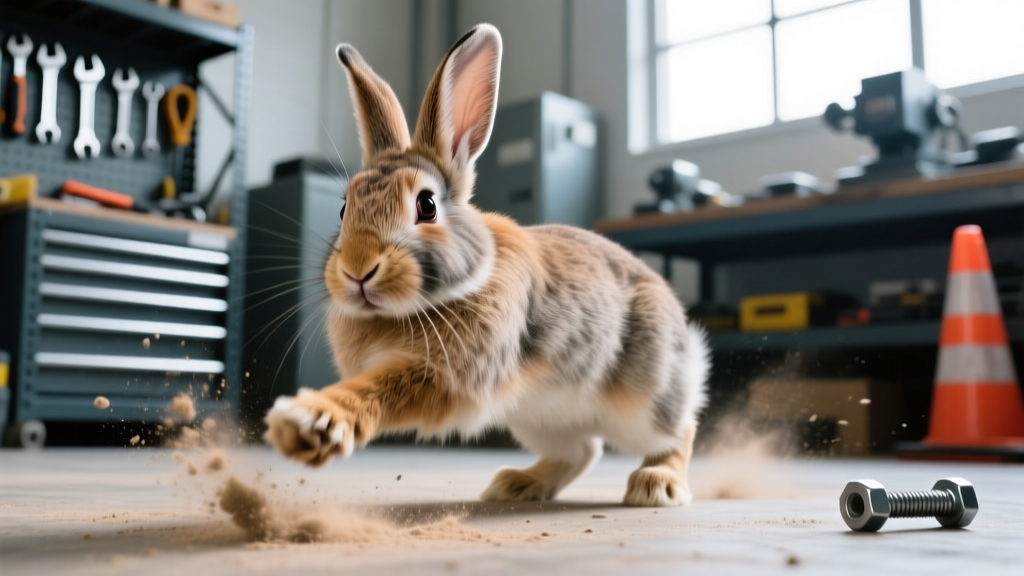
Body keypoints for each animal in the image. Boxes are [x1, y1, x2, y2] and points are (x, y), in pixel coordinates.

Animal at [264, 23, 710, 507]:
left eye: (426, 205)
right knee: (583, 451)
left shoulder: (447, 375)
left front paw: (308, 419)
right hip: (539, 418)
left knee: (679, 431)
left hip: (643, 404)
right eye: (344, 208)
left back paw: (657, 484)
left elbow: (379, 389)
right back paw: (516, 484)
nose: (357, 270)